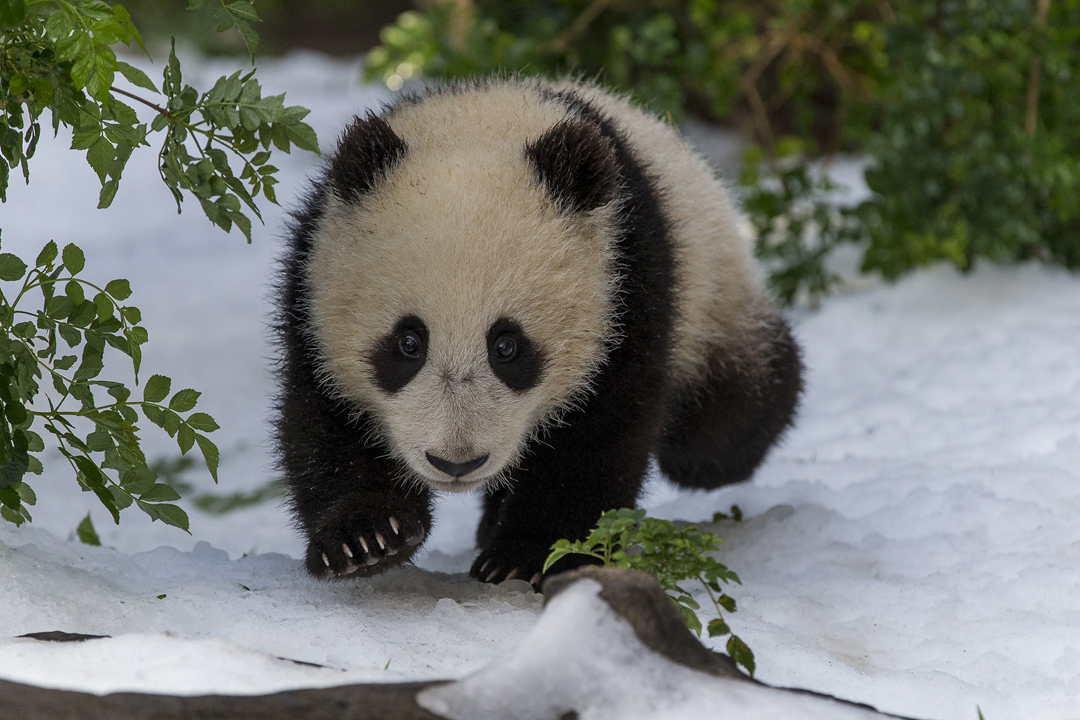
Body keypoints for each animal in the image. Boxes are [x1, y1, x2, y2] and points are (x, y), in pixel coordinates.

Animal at [275, 76, 802, 589]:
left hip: (712, 293)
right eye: (408, 343)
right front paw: (366, 540)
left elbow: (594, 439)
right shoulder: (311, 289)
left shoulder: (625, 286)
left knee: (724, 417)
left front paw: (530, 555)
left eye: (507, 346)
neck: (479, 118)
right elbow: (324, 423)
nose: (456, 462)